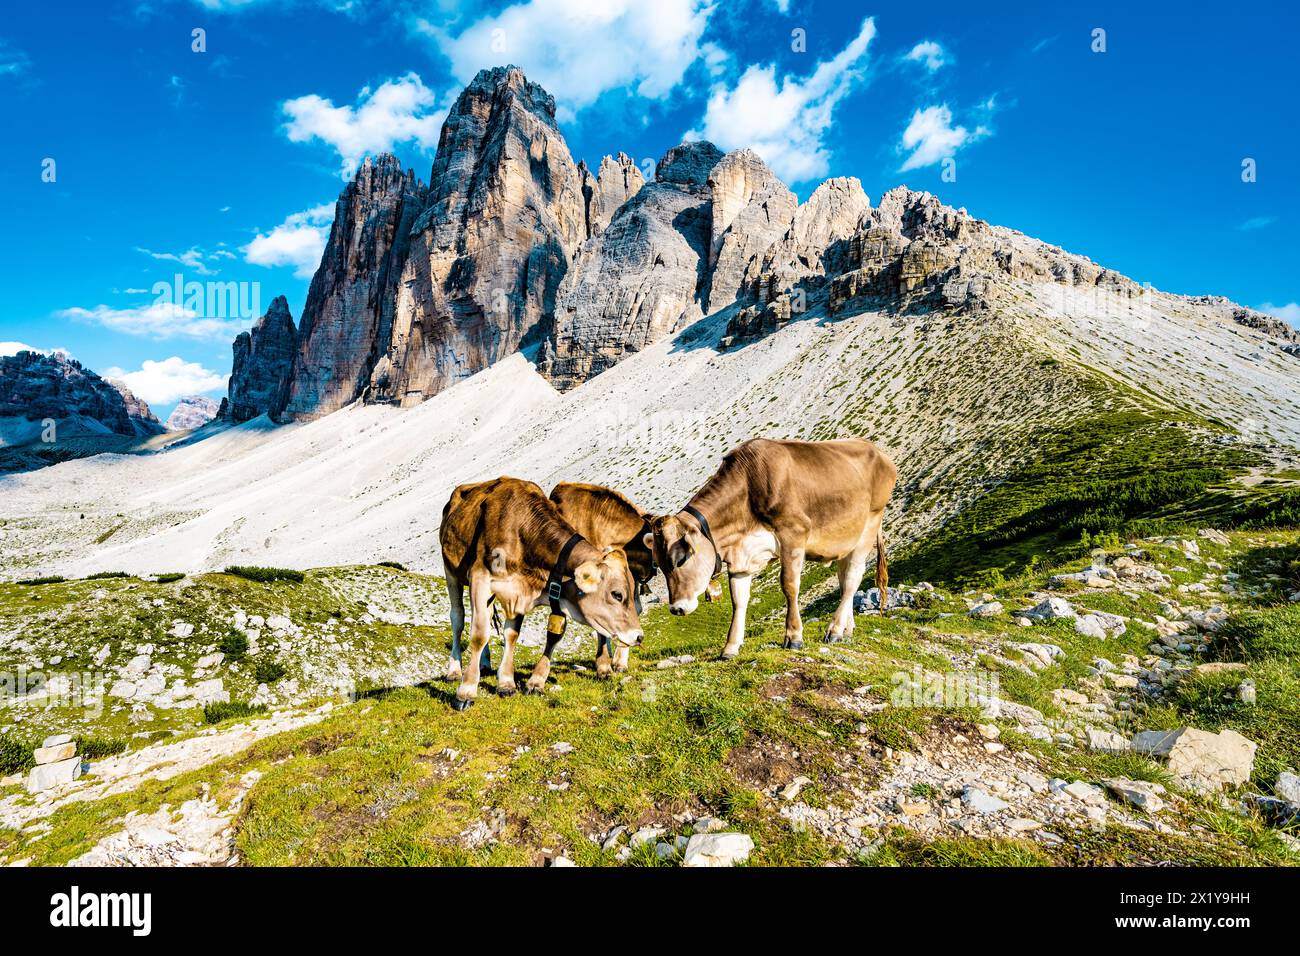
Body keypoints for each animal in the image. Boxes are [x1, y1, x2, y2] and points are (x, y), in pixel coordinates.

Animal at [440, 477, 644, 710]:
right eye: (617, 594)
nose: (639, 636)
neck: (523, 529)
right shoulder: (480, 579)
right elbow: (479, 634)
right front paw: (466, 692)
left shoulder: (523, 592)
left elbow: (513, 634)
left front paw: (507, 683)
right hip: (451, 572)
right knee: (458, 618)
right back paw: (454, 671)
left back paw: (485, 663)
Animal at [647, 438, 896, 660]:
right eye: (658, 564)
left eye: (680, 559)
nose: (676, 608)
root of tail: (878, 451)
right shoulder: (741, 557)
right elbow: (738, 599)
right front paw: (730, 647)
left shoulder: (794, 533)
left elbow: (789, 585)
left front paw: (794, 637)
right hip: (845, 538)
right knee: (844, 580)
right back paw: (846, 629)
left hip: (871, 522)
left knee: (853, 578)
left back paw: (834, 630)